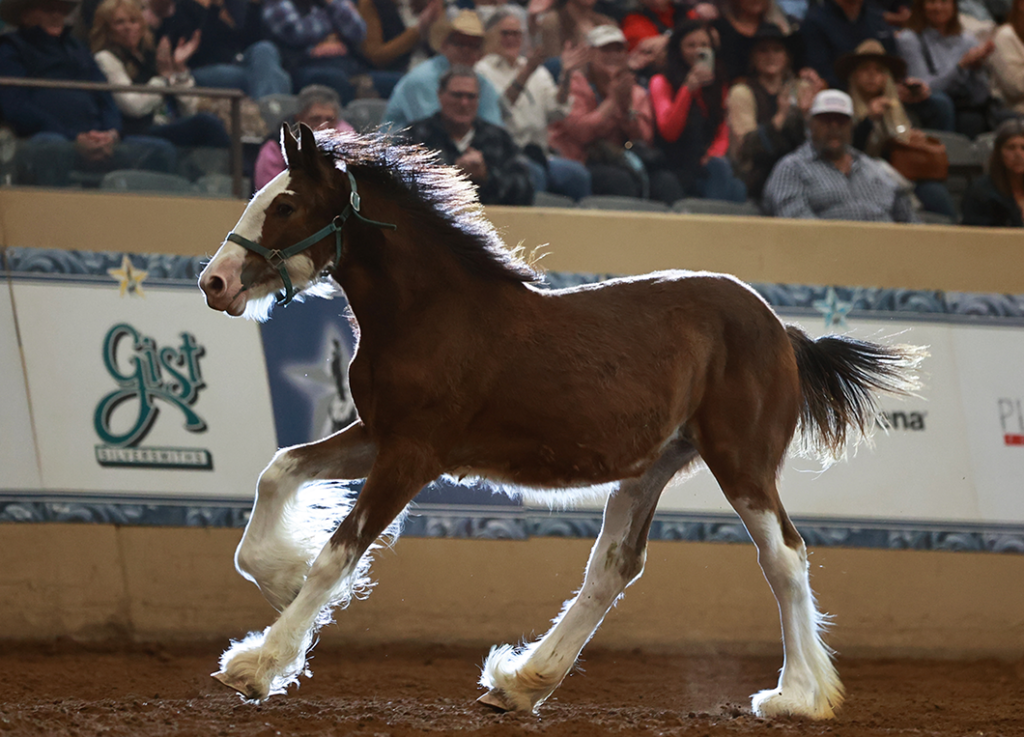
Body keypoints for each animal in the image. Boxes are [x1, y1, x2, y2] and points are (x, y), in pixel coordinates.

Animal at [197, 123, 924, 720]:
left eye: (285, 205)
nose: (214, 282)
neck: (430, 314)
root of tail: (783, 331)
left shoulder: (413, 453)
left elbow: (338, 553)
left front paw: (259, 664)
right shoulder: (378, 434)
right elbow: (278, 471)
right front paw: (279, 578)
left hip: (741, 461)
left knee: (784, 556)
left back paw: (796, 696)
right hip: (653, 464)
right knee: (615, 567)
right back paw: (521, 682)